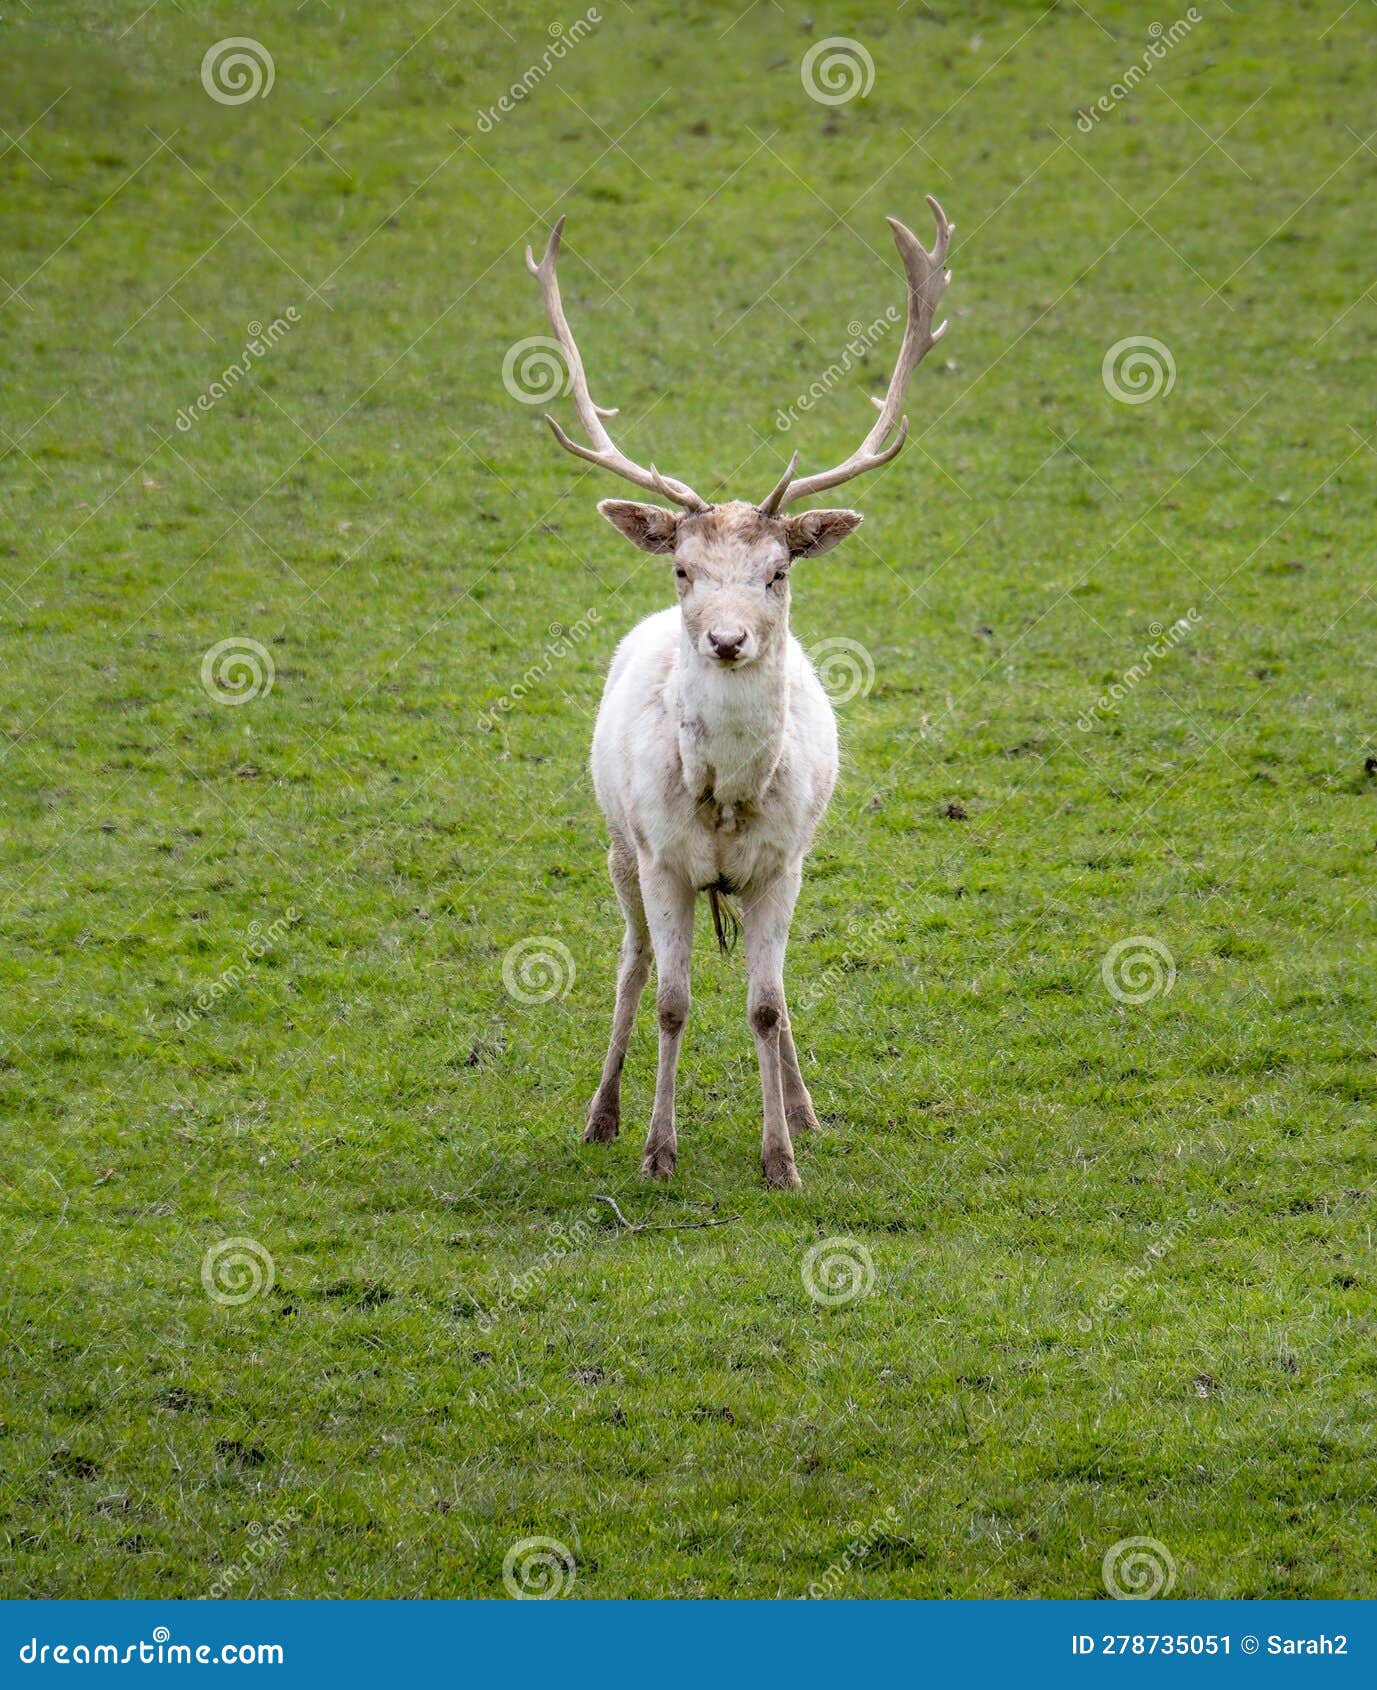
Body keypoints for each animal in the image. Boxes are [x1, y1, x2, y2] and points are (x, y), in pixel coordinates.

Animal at [522, 197, 953, 1189]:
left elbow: (764, 1004)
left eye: (777, 571)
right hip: (616, 845)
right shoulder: (662, 859)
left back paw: (803, 1108)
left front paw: (781, 1156)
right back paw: (600, 1115)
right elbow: (673, 1001)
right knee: (632, 966)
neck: (722, 796)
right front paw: (657, 1151)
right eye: (683, 567)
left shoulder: (781, 864)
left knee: (774, 990)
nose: (726, 639)